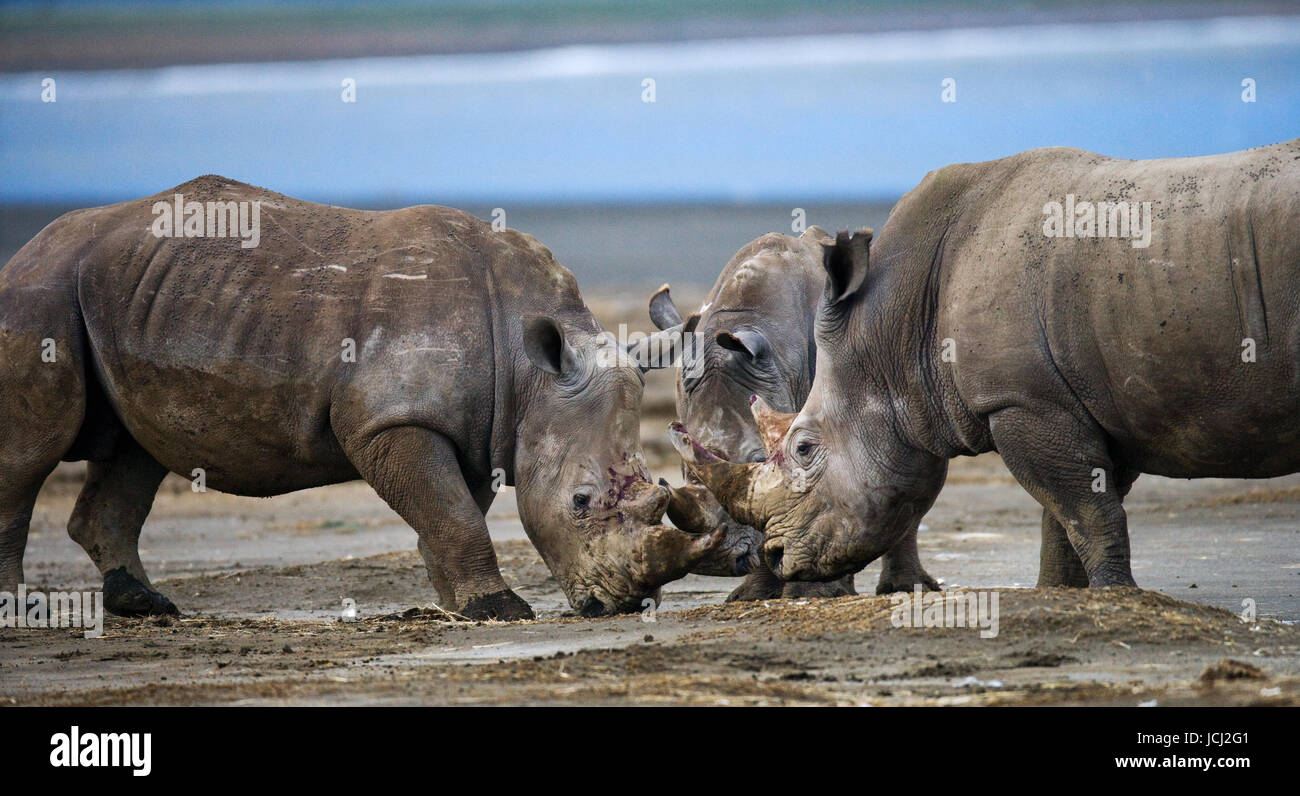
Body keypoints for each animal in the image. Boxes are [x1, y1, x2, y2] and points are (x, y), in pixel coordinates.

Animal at [0, 175, 749, 621]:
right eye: (582, 502)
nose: (617, 606)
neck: (530, 371)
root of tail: (29, 248)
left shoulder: (477, 428)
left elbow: (452, 511)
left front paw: (459, 603)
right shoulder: (392, 422)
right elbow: (452, 512)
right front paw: (499, 609)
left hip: (131, 297)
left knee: (137, 450)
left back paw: (146, 605)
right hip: (41, 296)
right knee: (32, 454)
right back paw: (18, 608)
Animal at [647, 228, 939, 599]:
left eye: (759, 458)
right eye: (684, 470)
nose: (718, 563)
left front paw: (810, 595)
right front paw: (755, 596)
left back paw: (901, 588)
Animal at [673, 140, 1300, 589]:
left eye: (804, 449)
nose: (776, 553)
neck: (893, 330)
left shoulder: (1026, 401)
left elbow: (1085, 512)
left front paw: (1115, 597)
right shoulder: (1073, 402)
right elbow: (1071, 516)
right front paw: (1064, 597)